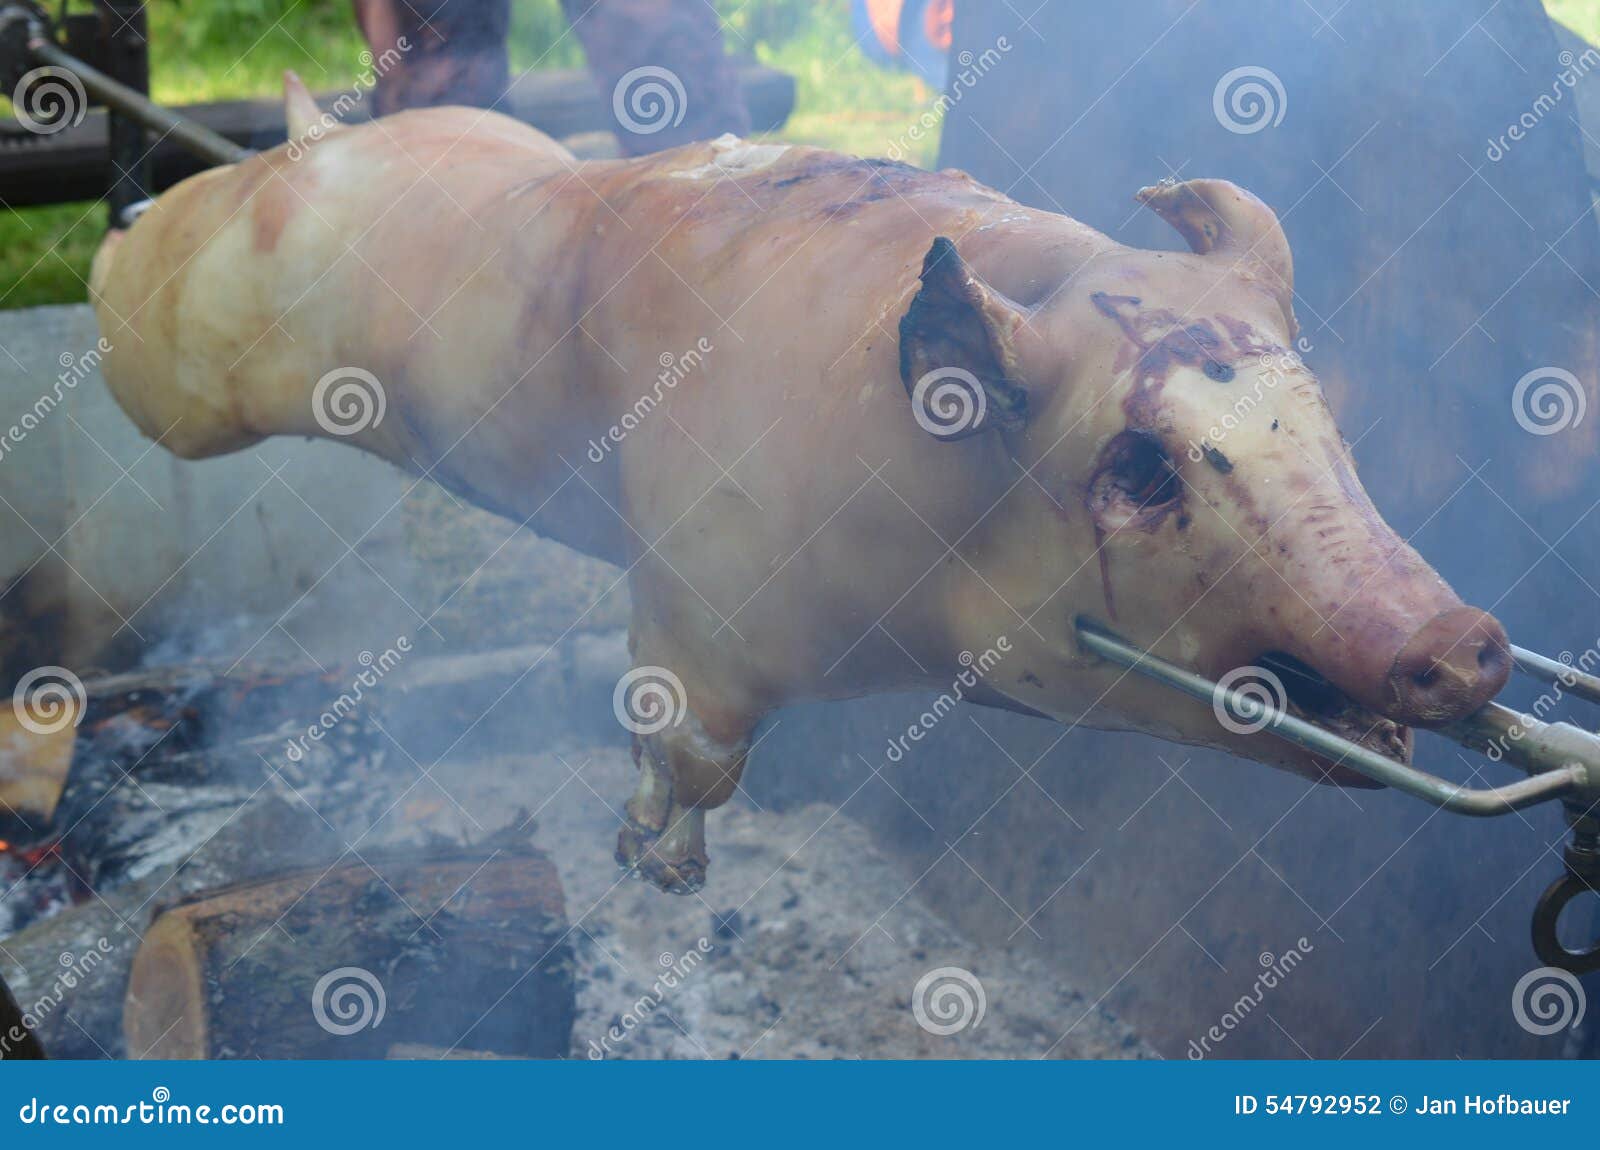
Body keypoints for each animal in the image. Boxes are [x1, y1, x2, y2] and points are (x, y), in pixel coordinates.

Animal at [89, 82, 1511, 893]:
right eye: (1144, 467)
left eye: (1321, 418)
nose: (1465, 642)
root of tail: (308, 145)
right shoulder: (696, 606)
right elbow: (688, 752)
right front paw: (652, 871)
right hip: (172, 374)